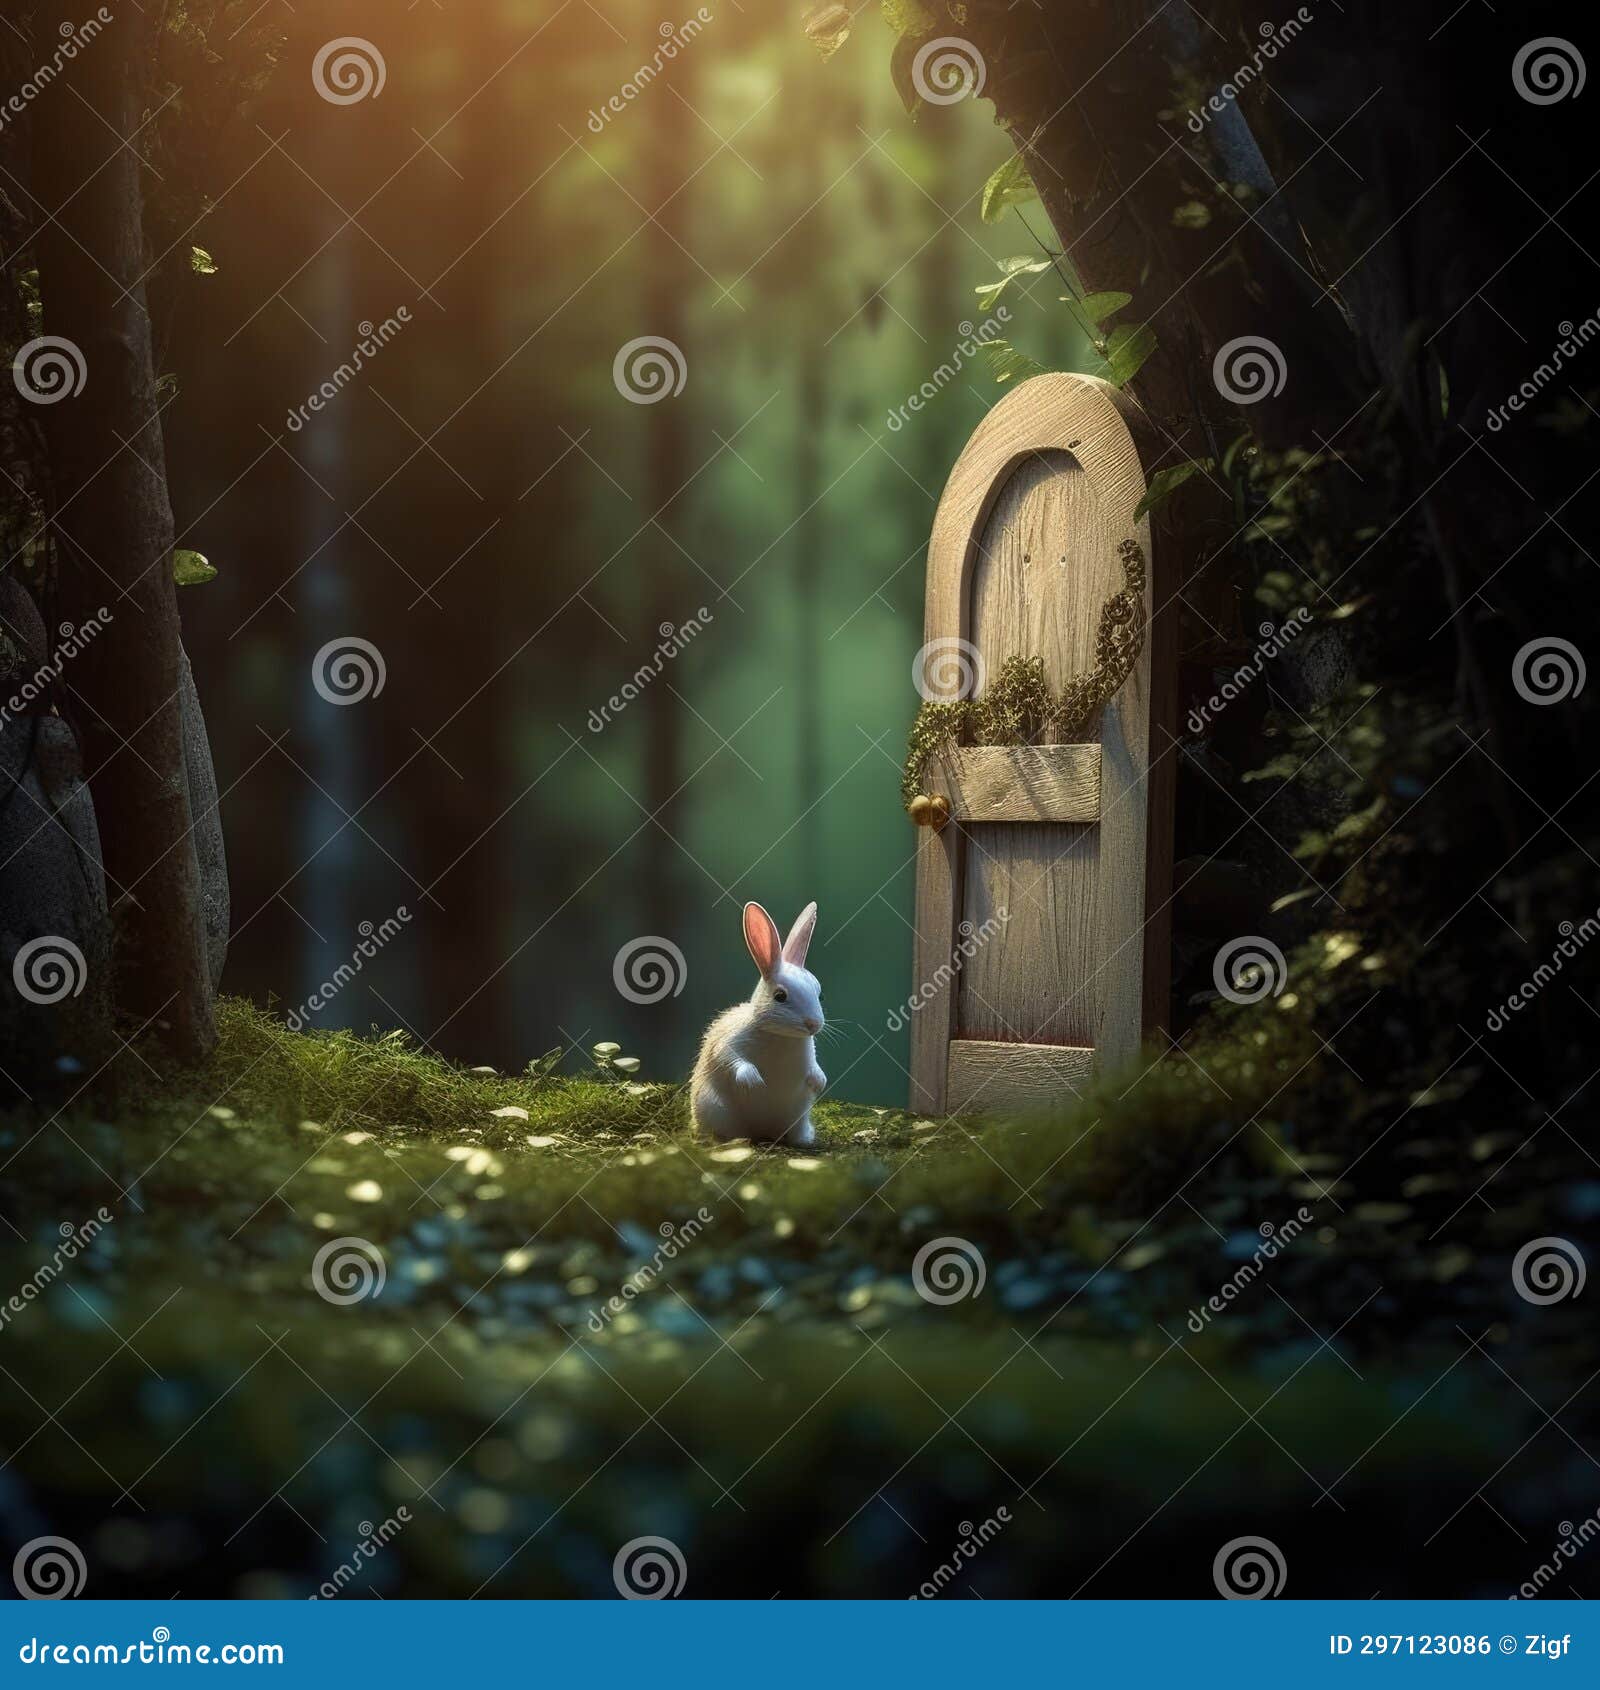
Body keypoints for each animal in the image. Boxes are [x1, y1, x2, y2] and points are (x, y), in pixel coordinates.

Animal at [691, 901, 826, 1147]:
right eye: (780, 996)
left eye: (819, 994)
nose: (813, 1024)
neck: (781, 1035)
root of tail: (763, 1132)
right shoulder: (731, 1042)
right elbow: (730, 1058)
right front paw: (753, 1081)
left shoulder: (809, 1053)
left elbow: (814, 1065)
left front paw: (819, 1081)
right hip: (715, 1109)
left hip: (797, 1118)